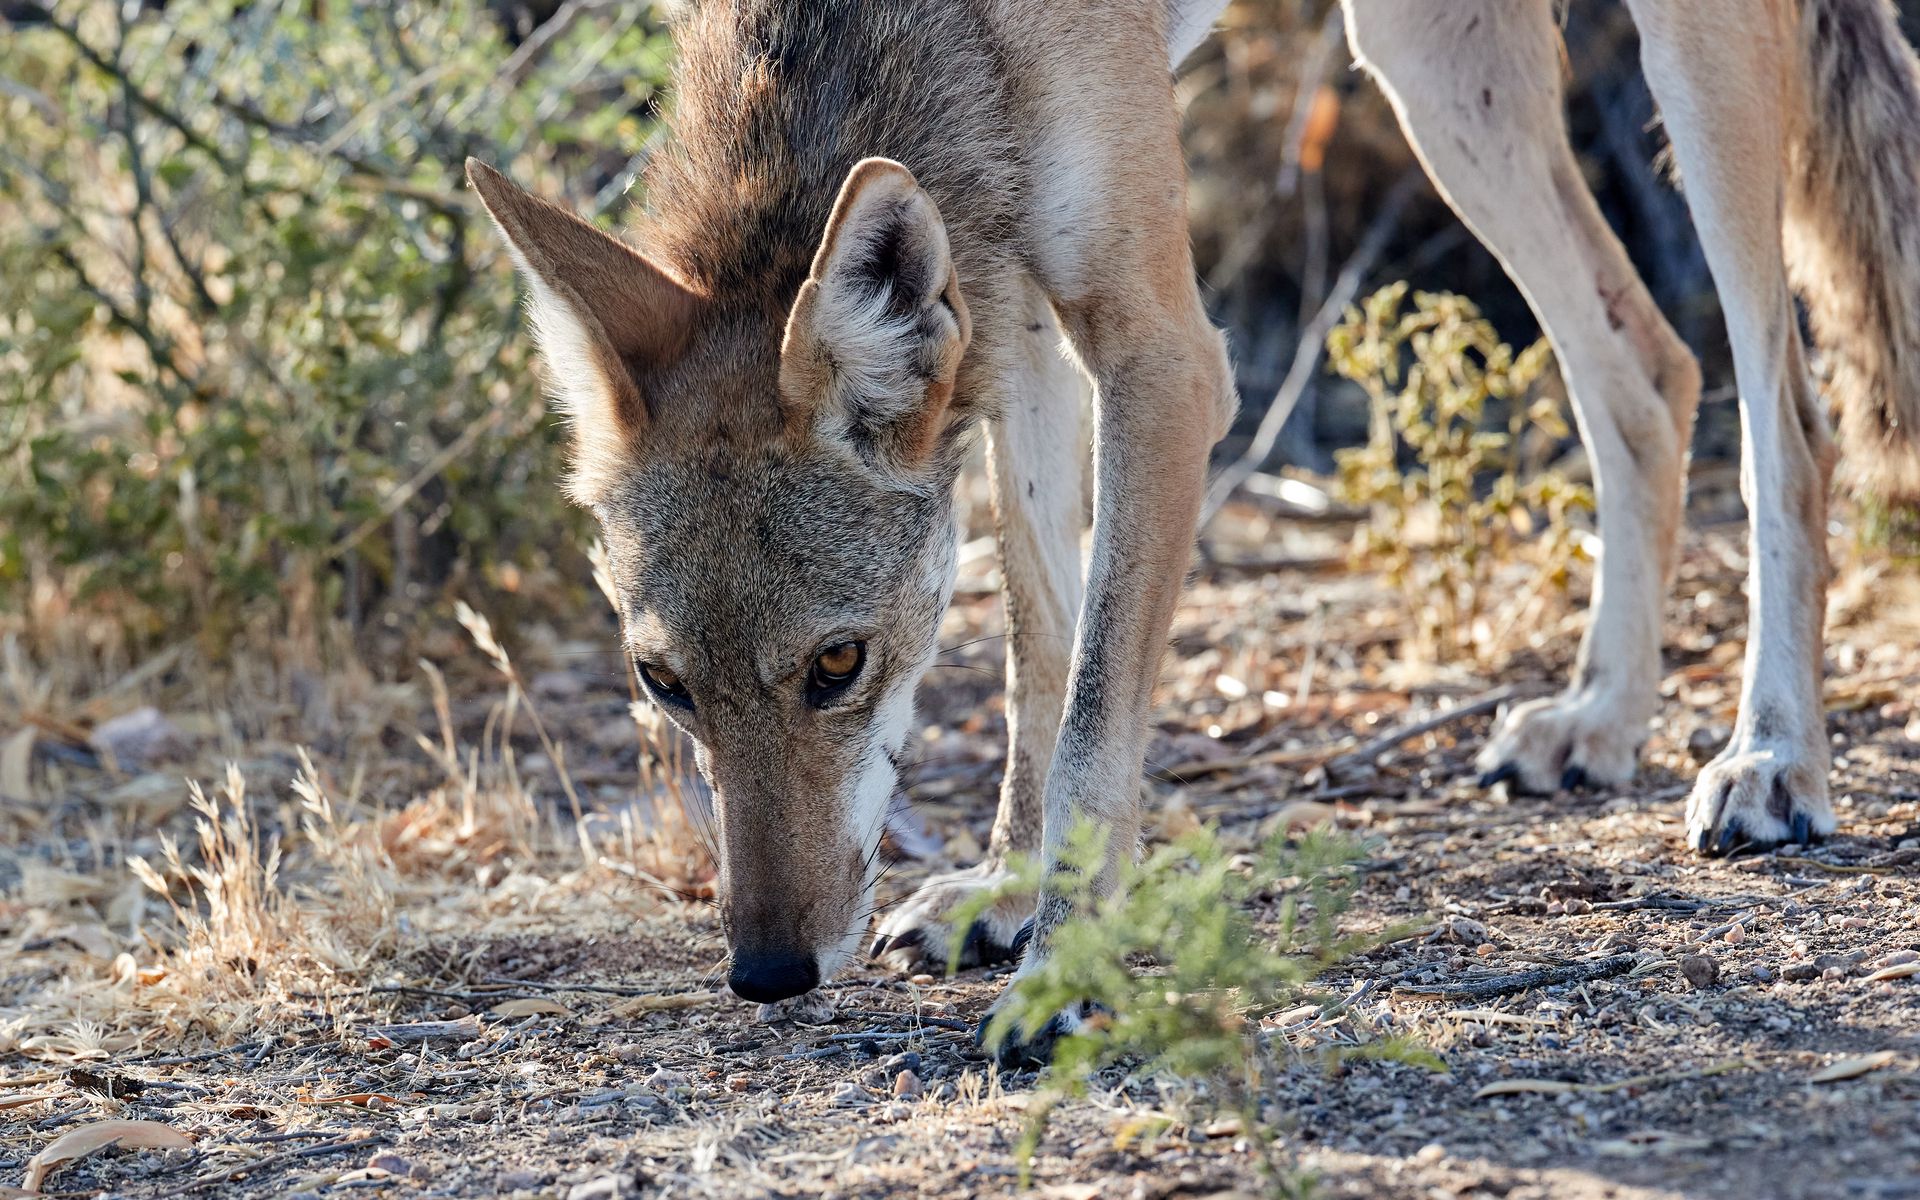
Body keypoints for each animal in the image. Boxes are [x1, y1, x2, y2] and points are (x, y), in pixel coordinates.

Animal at [467, 0, 1920, 1064]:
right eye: (663, 684)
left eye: (837, 666)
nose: (768, 973)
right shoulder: (1006, 294)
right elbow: (1040, 645)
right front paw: (1008, 896)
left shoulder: (1163, 354)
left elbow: (1092, 714)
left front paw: (1064, 973)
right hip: (1431, 71)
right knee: (1651, 370)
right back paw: (1602, 718)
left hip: (1678, 84)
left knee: (1787, 412)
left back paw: (1772, 759)